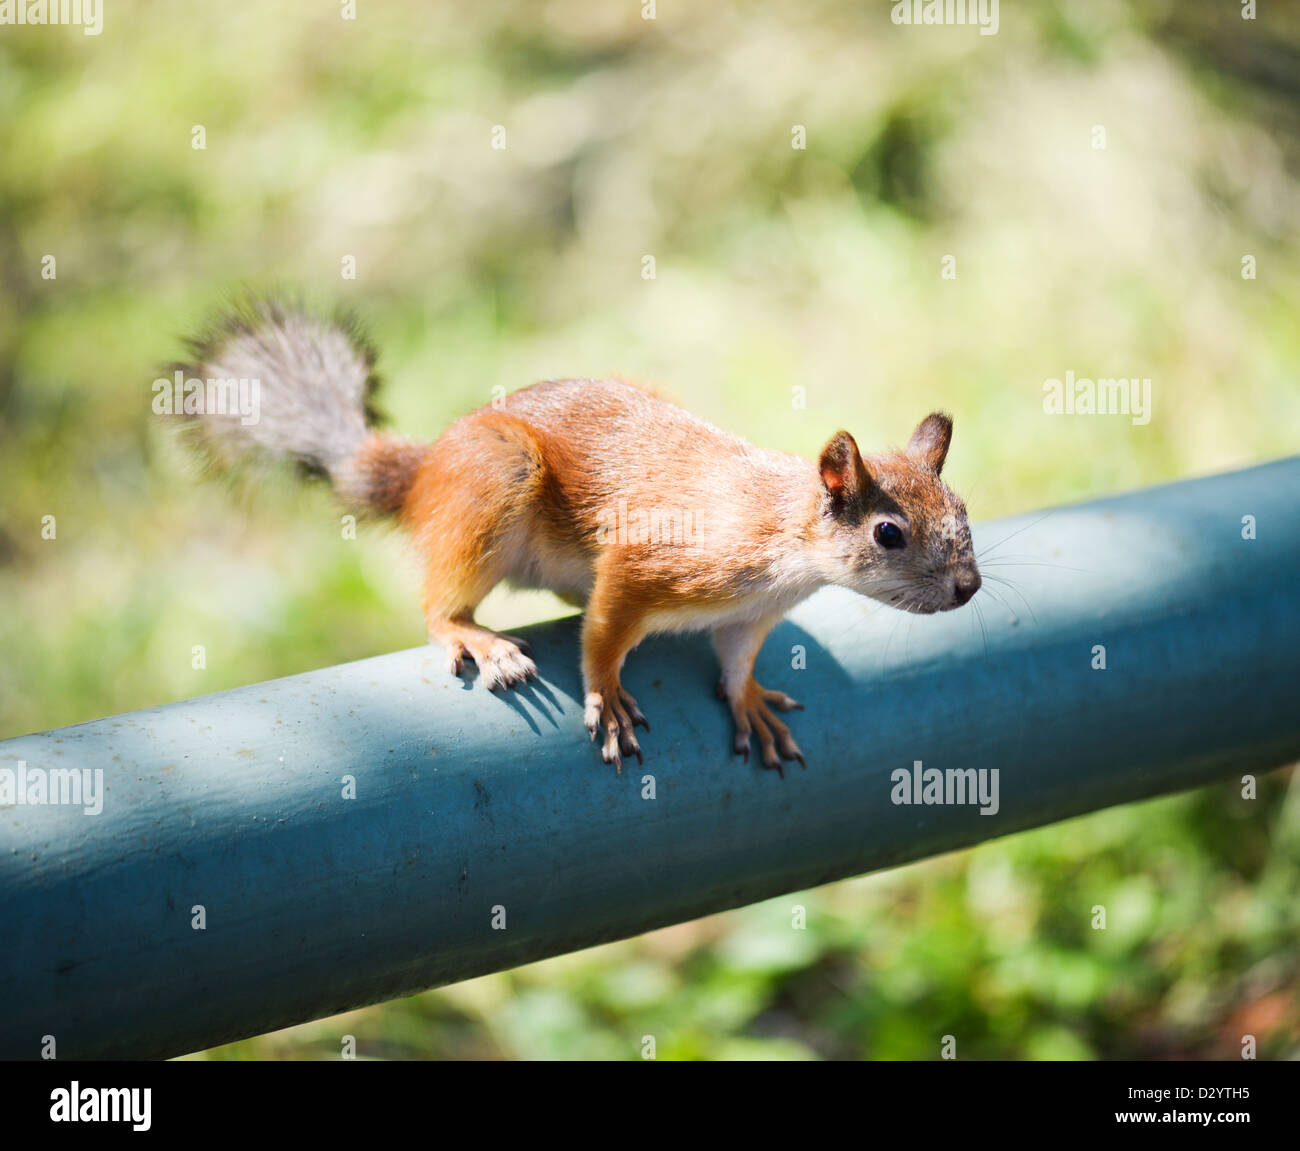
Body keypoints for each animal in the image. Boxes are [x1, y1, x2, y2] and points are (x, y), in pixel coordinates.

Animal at [169, 297, 981, 773]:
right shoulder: (651, 561)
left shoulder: (748, 616)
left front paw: (747, 698)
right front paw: (608, 693)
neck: (784, 538)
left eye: (963, 509)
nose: (969, 587)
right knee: (439, 605)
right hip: (494, 478)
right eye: (888, 532)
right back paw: (477, 637)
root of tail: (427, 468)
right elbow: (603, 631)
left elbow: (735, 657)